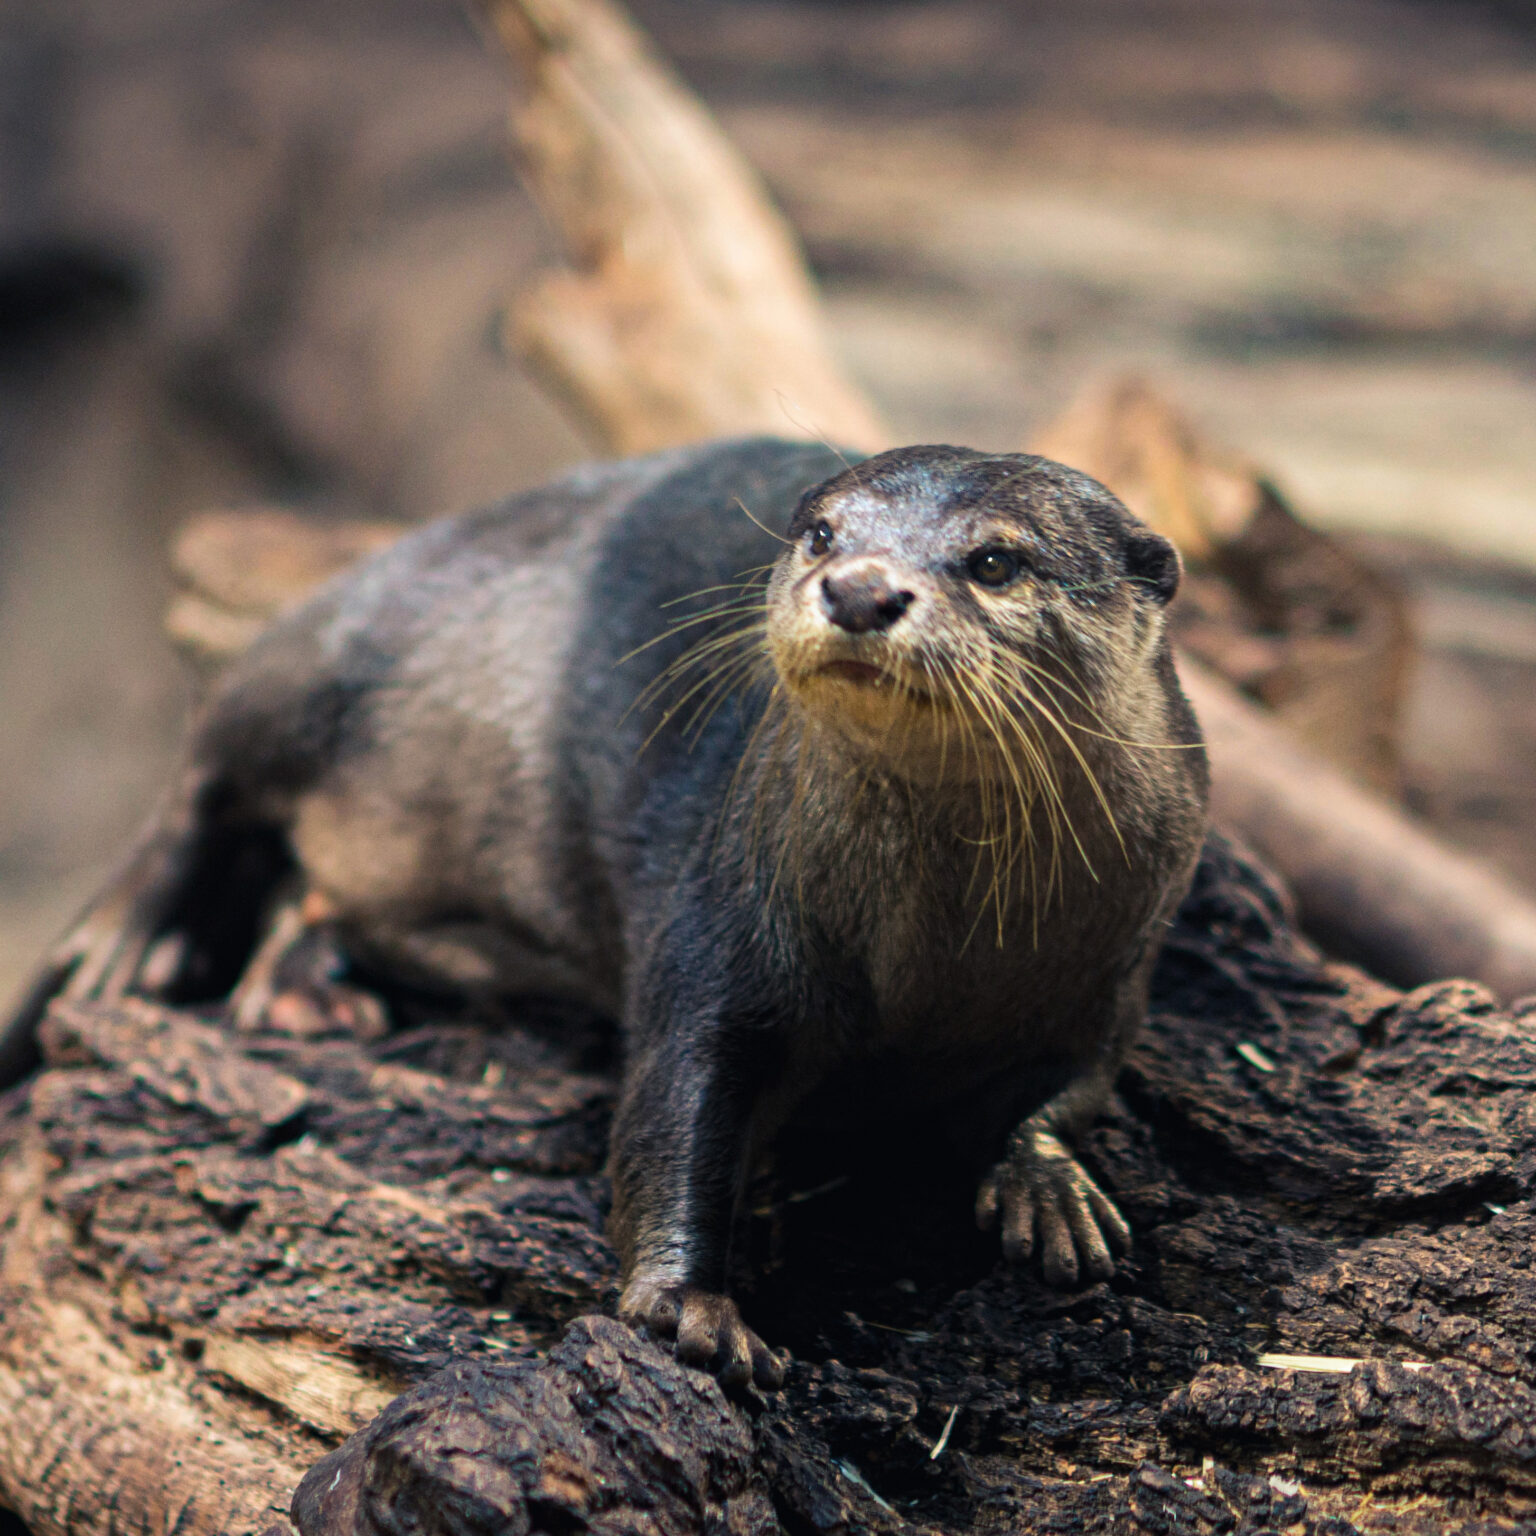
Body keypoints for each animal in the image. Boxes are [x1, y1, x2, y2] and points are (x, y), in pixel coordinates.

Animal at [0, 438, 1208, 1389]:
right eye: (822, 533)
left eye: (997, 560)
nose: (861, 588)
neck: (937, 960)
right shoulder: (723, 922)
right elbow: (674, 1104)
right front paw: (695, 1309)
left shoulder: (1119, 963)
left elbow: (1076, 1088)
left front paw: (1053, 1195)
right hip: (312, 656)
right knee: (204, 777)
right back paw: (131, 945)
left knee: (323, 893)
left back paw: (308, 991)